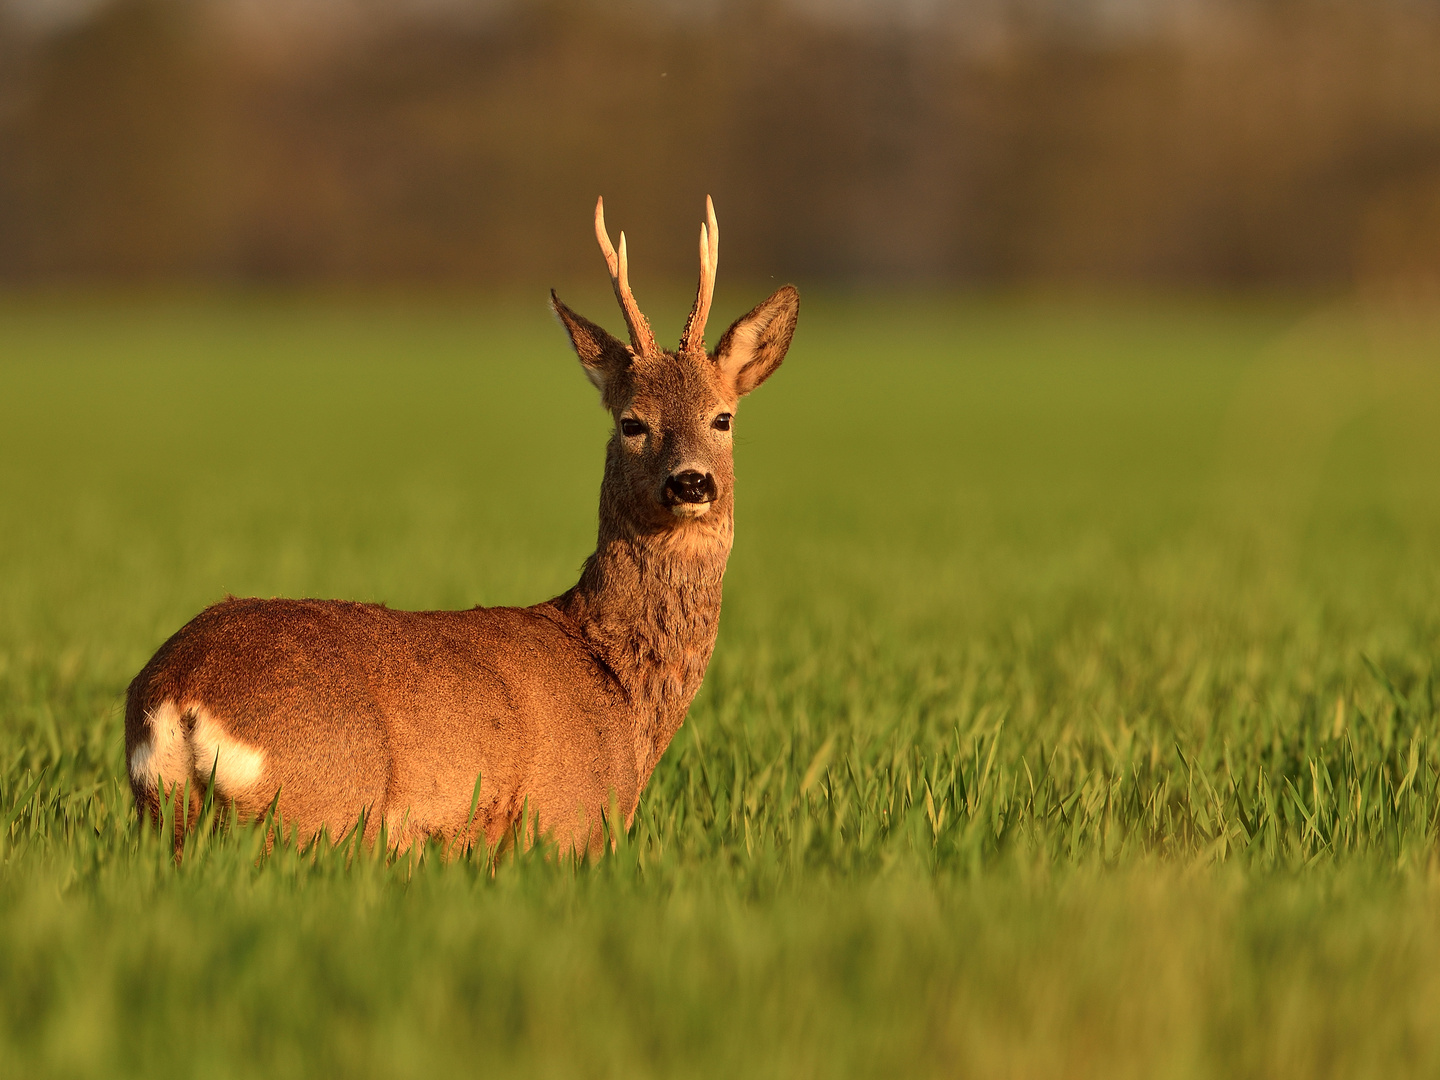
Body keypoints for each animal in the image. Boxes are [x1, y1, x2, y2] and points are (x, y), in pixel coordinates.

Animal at [123, 192, 800, 852]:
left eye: (722, 418)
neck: (617, 688)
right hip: (321, 814)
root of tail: (179, 697)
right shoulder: (567, 823)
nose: (691, 482)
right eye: (632, 422)